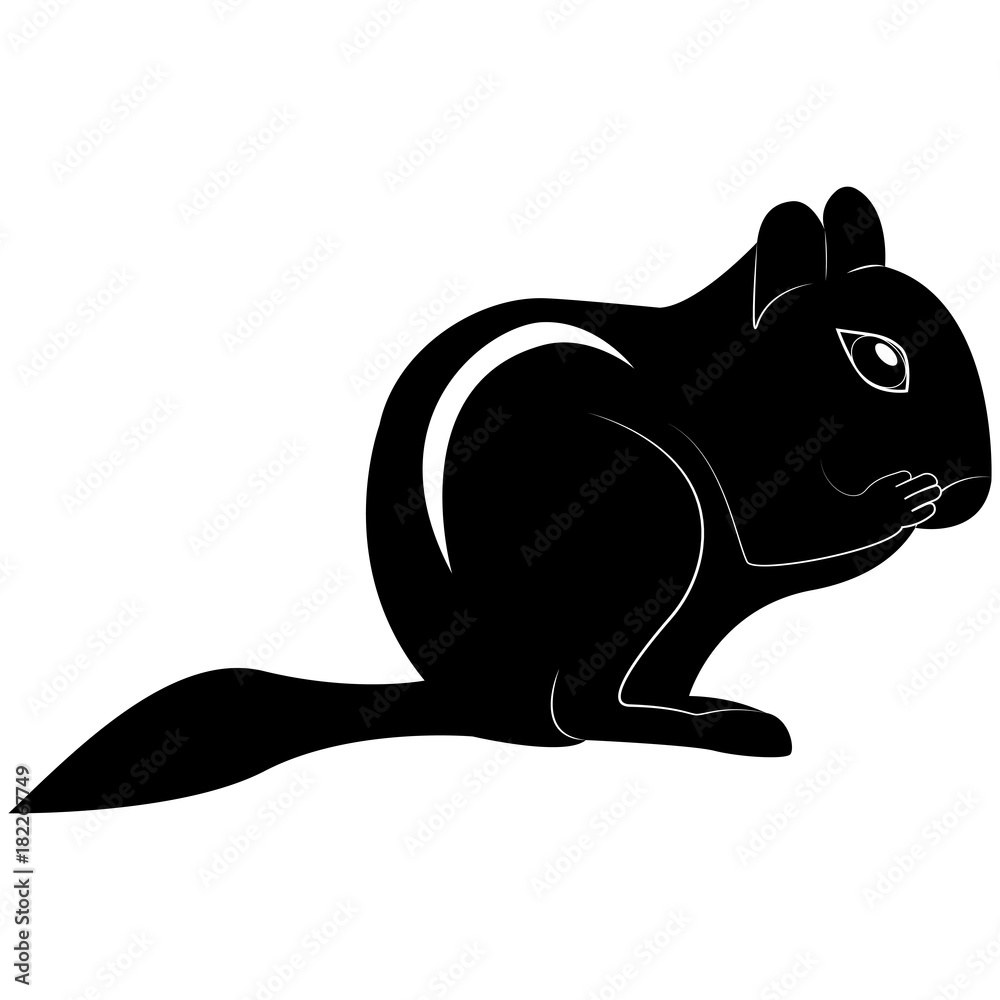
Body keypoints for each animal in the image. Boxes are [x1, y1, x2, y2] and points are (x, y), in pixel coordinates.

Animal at [18, 188, 991, 814]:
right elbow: (773, 529)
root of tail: (495, 695)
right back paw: (714, 729)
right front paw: (902, 498)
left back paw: (704, 714)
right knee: (589, 710)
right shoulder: (752, 462)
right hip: (650, 532)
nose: (976, 490)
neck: (753, 374)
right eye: (879, 358)